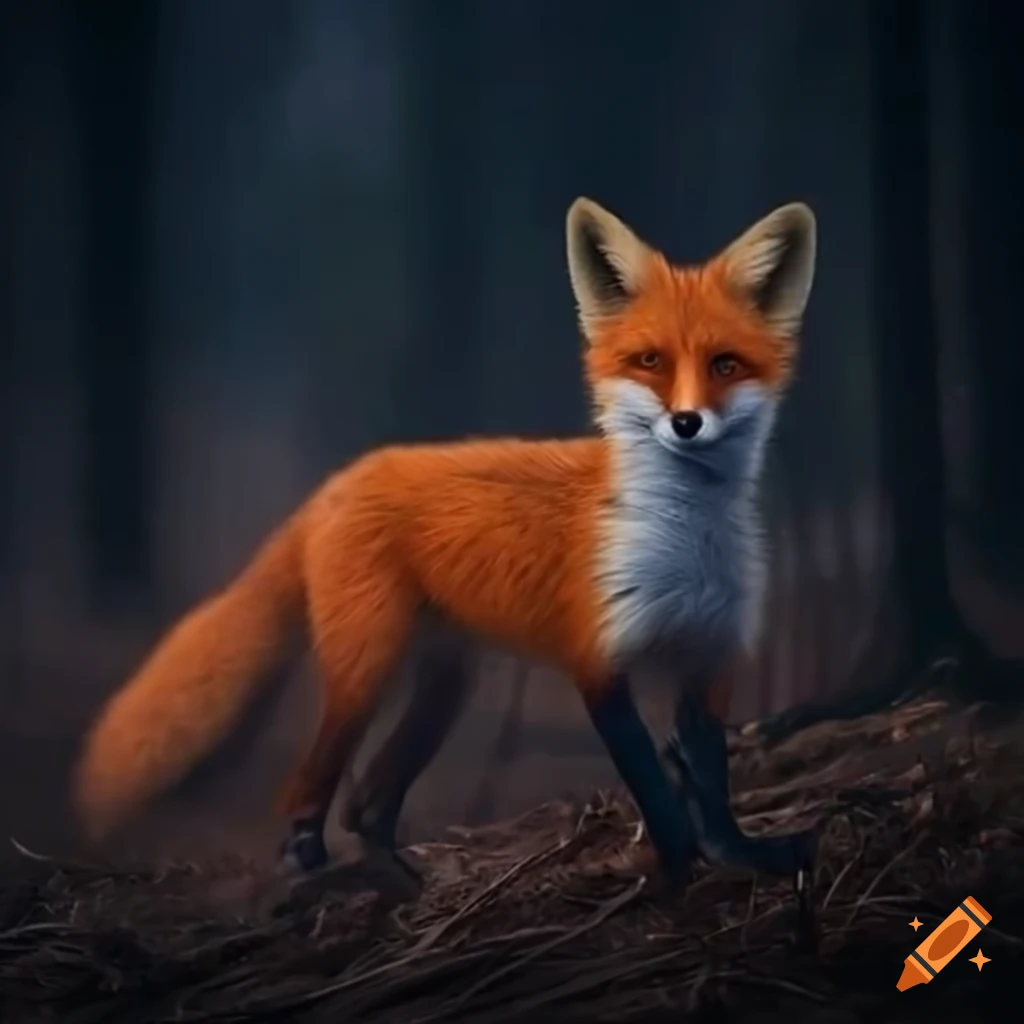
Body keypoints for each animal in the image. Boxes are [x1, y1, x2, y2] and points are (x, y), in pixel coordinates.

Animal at [73, 197, 819, 884]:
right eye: (649, 361)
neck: (684, 541)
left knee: (369, 803)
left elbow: (712, 787)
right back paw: (306, 862)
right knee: (314, 782)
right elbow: (657, 791)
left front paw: (738, 856)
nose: (686, 423)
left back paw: (398, 875)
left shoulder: (710, 657)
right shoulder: (598, 662)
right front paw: (674, 867)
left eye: (725, 365)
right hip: (367, 672)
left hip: (445, 686)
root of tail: (340, 480)